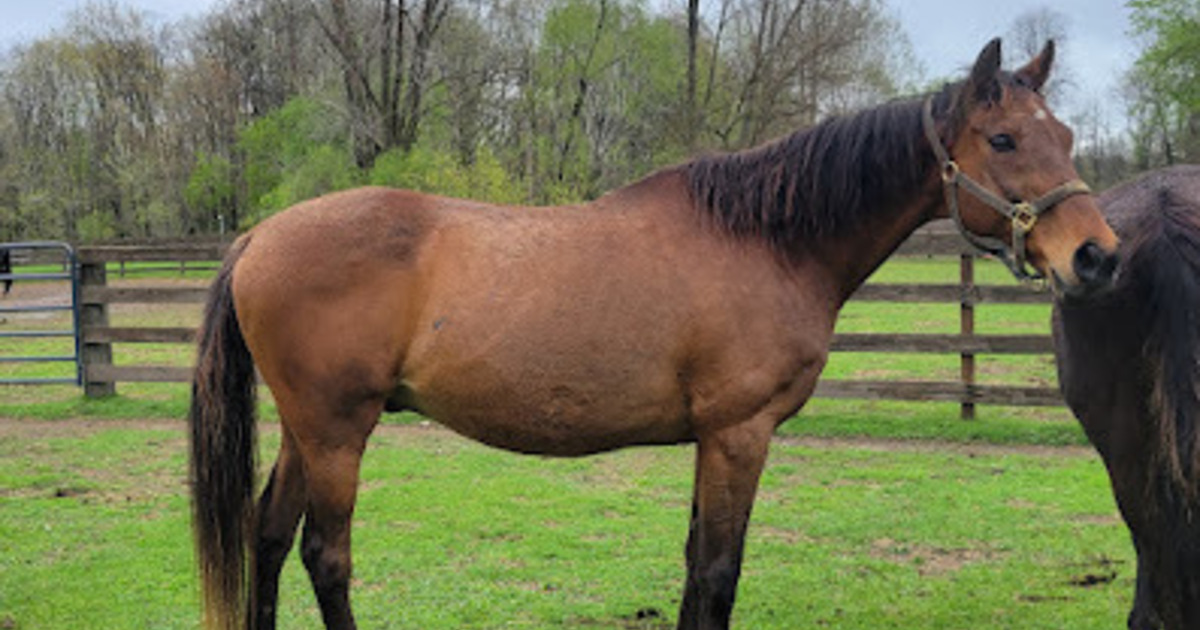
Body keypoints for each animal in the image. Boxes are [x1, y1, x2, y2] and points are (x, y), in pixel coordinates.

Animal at [190, 39, 1119, 630]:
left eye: (1067, 134)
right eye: (1003, 137)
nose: (1098, 256)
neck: (766, 240)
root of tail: (259, 236)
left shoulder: (713, 439)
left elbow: (693, 566)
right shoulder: (739, 434)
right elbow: (717, 574)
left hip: (308, 433)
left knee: (266, 539)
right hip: (337, 432)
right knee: (324, 556)